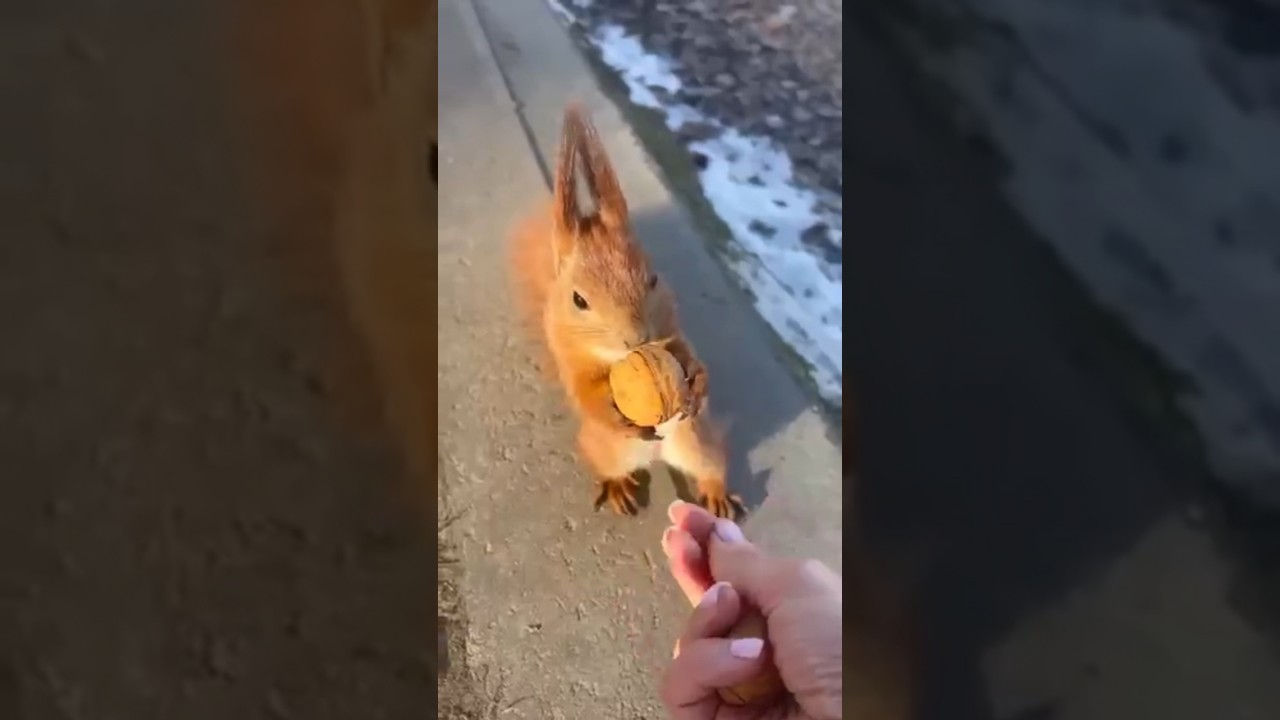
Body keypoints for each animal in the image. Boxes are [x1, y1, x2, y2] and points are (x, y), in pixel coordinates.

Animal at [509, 104, 742, 520]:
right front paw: (614, 414)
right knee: (606, 462)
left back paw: (716, 494)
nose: (637, 339)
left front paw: (698, 382)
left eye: (653, 278)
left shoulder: (672, 329)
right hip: (605, 449)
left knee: (712, 466)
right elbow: (587, 394)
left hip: (700, 444)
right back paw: (617, 486)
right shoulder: (572, 362)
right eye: (578, 300)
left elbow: (689, 355)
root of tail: (659, 455)